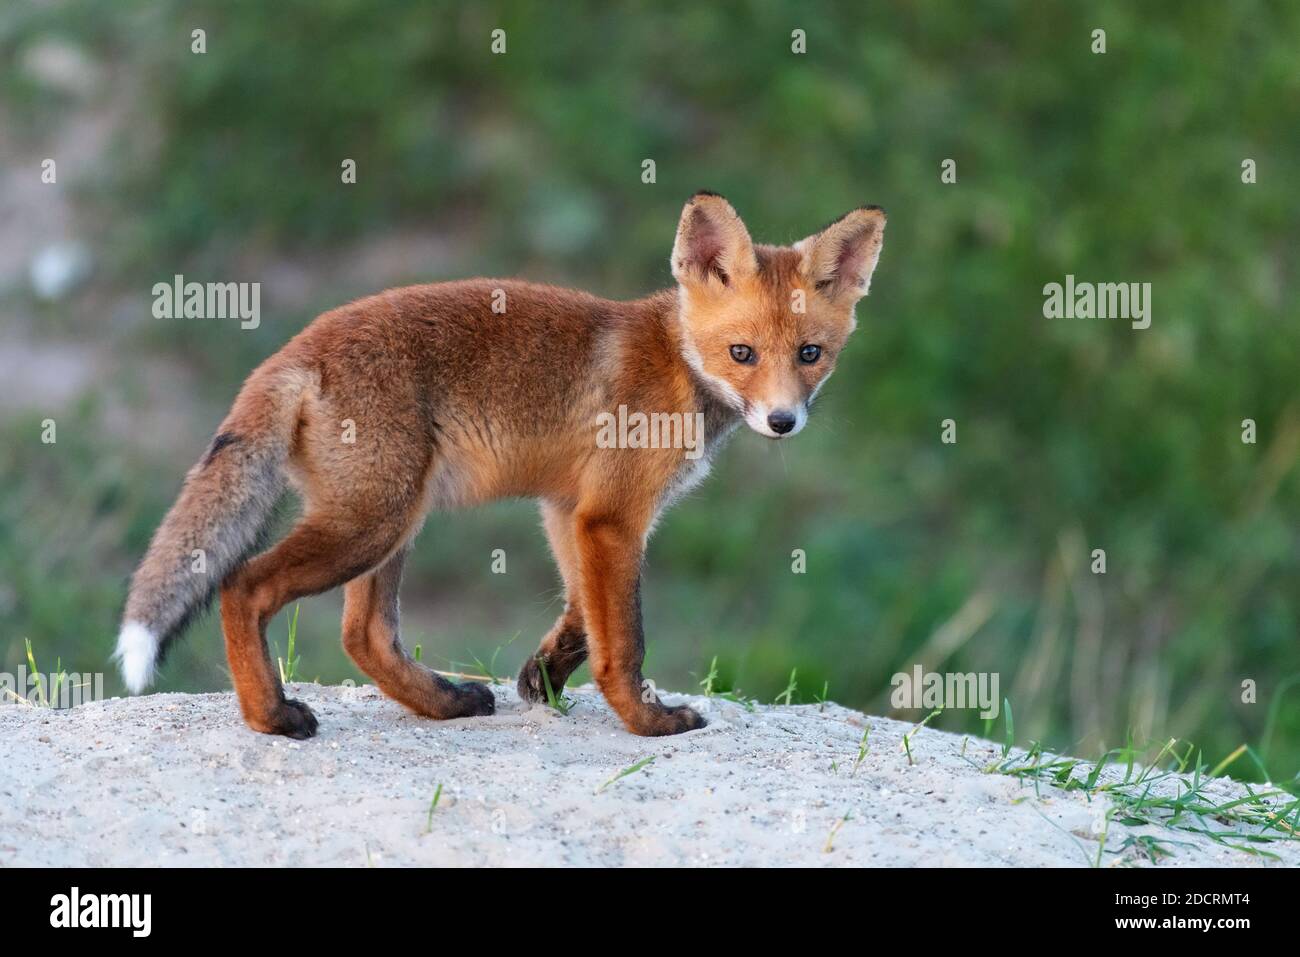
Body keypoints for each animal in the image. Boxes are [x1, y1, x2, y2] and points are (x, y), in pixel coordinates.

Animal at [115, 192, 886, 738]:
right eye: (743, 354)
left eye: (810, 355)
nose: (782, 421)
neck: (677, 368)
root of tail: (293, 349)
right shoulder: (612, 517)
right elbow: (624, 640)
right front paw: (646, 721)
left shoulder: (569, 511)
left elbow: (581, 613)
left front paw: (540, 681)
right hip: (372, 521)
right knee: (242, 585)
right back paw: (271, 717)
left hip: (392, 522)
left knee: (363, 635)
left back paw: (441, 702)